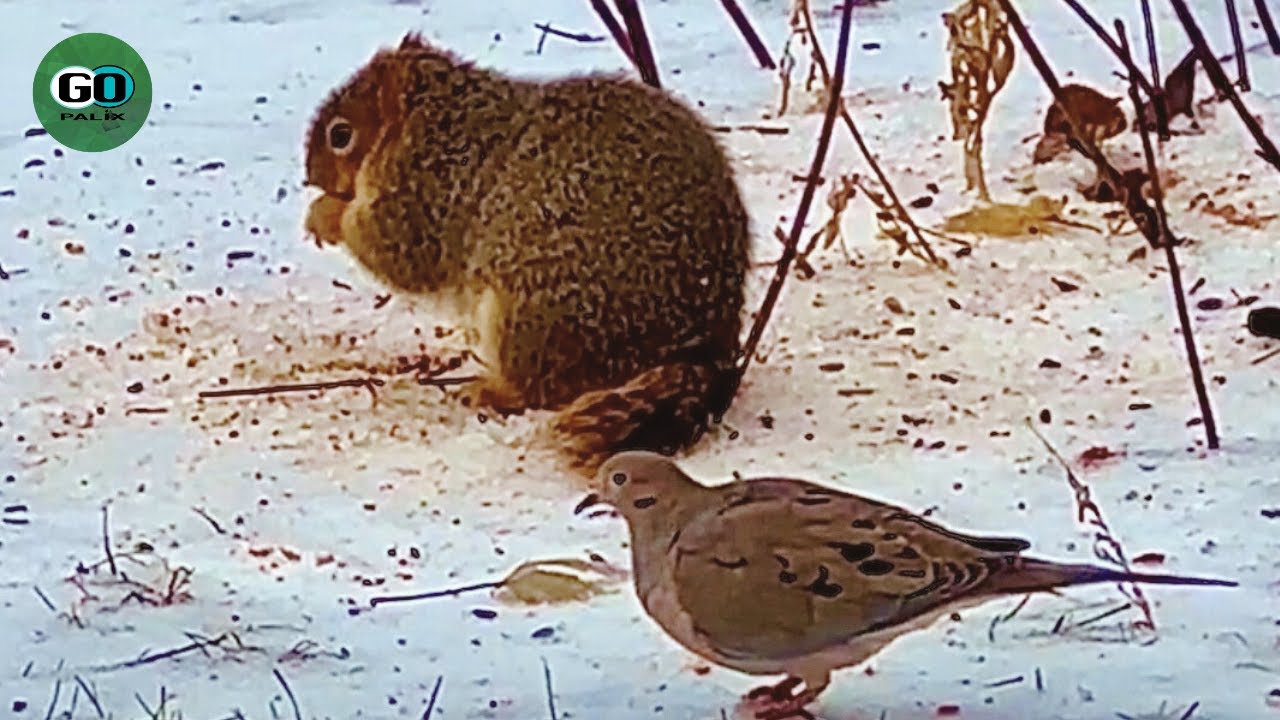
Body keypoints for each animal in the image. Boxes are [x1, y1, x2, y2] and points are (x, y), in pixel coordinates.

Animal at [302, 33, 751, 472]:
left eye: (340, 135)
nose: (309, 175)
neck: (434, 114)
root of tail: (702, 346)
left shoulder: (425, 187)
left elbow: (395, 250)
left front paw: (325, 214)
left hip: (530, 317)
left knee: (542, 390)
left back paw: (489, 392)